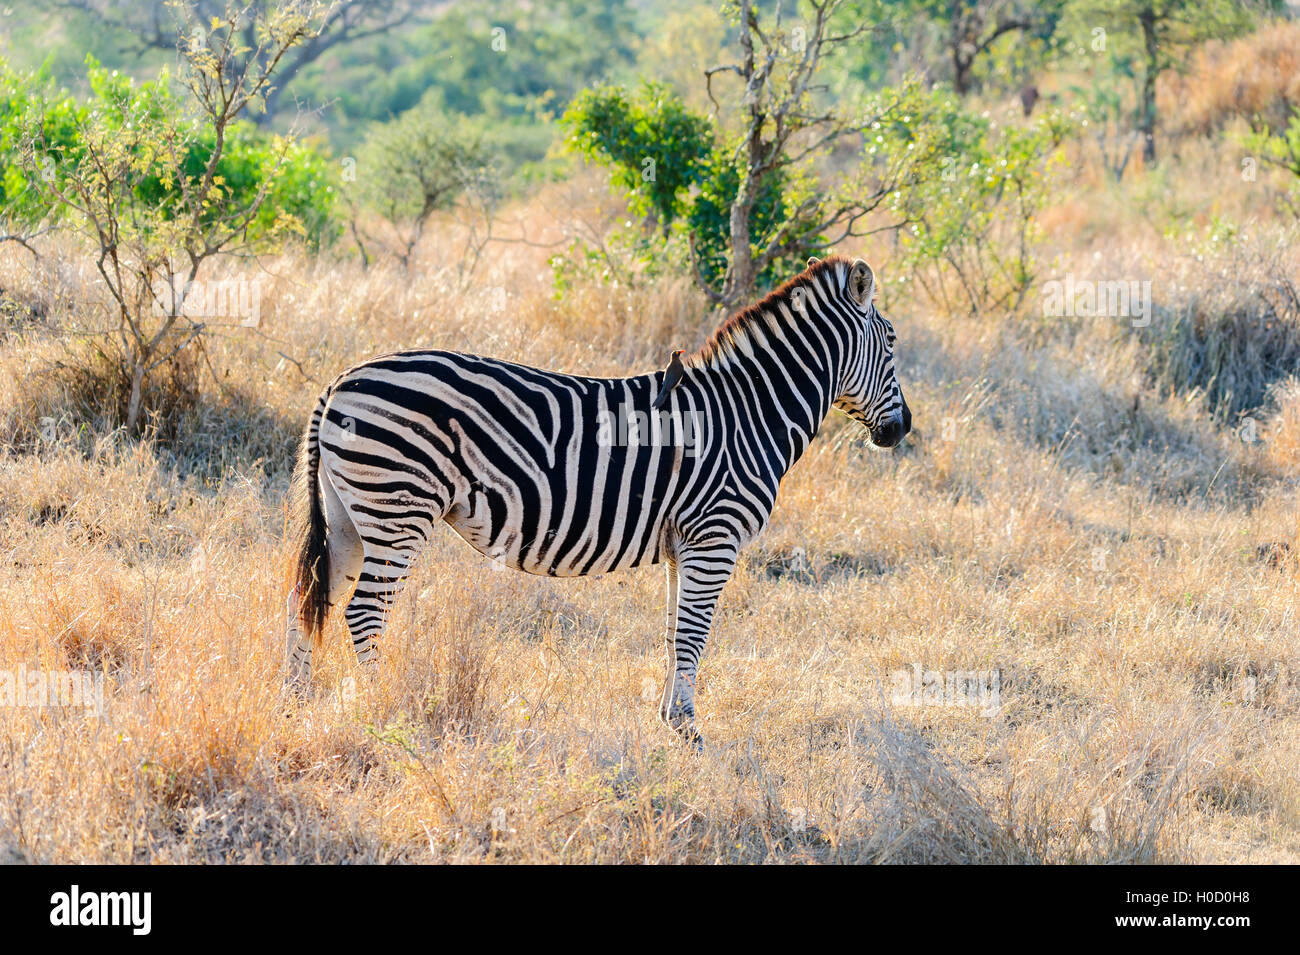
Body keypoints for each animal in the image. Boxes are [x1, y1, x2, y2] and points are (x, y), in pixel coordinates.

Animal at [285, 255, 910, 745]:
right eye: (892, 343)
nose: (901, 430)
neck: (748, 415)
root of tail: (340, 380)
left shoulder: (684, 545)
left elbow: (673, 630)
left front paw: (669, 718)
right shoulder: (716, 536)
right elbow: (694, 631)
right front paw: (689, 731)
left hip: (351, 517)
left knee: (305, 598)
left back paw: (295, 703)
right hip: (398, 508)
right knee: (364, 612)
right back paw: (384, 708)